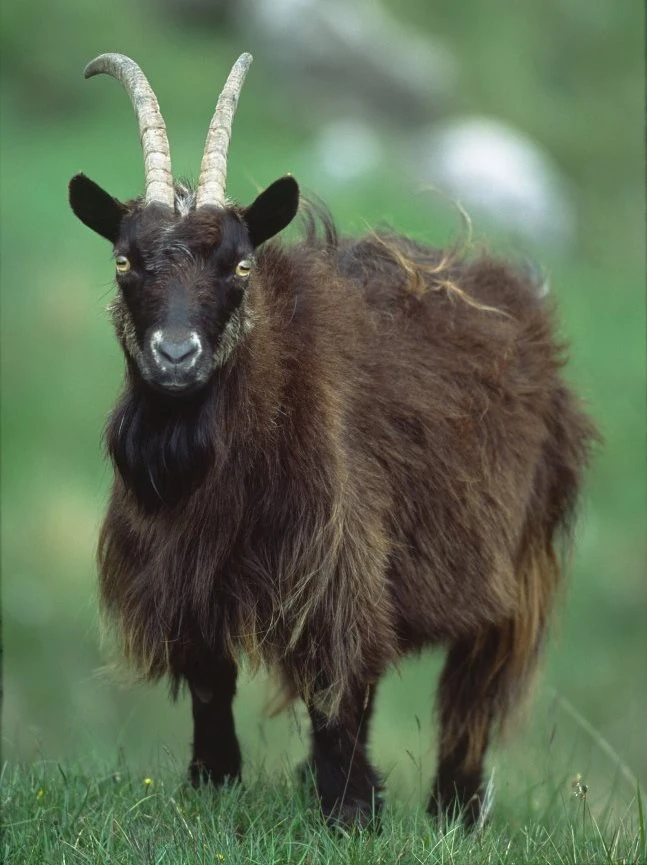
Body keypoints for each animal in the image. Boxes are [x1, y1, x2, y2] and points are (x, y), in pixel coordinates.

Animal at [68, 52, 597, 828]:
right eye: (124, 261)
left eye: (241, 264)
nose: (175, 355)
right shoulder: (182, 569)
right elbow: (209, 677)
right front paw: (213, 782)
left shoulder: (338, 554)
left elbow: (340, 682)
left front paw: (349, 810)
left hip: (518, 561)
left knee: (473, 692)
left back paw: (456, 811)